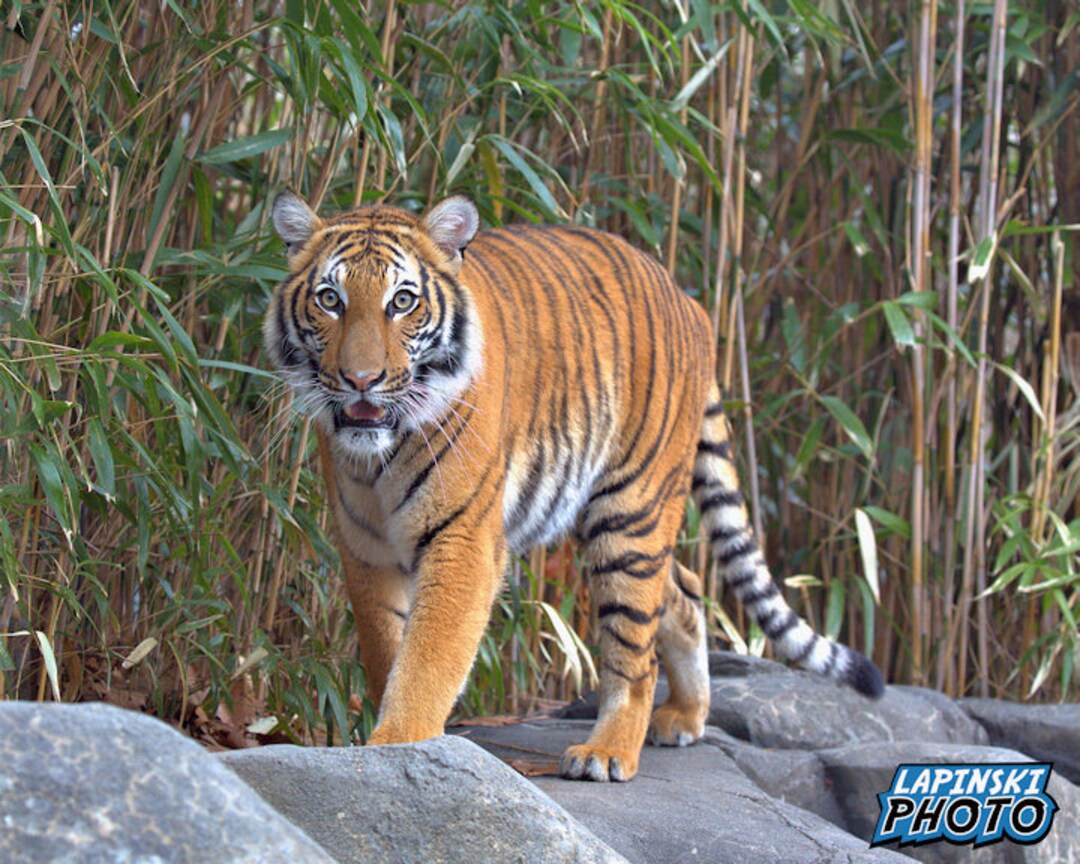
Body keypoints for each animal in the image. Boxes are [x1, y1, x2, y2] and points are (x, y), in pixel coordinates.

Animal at [264, 191, 884, 783]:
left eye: (402, 302)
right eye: (330, 300)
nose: (360, 380)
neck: (378, 456)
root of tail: (690, 302)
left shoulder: (462, 540)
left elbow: (428, 657)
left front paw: (398, 744)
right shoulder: (364, 548)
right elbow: (385, 649)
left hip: (630, 516)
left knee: (636, 653)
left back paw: (607, 752)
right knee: (685, 591)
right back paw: (686, 716)